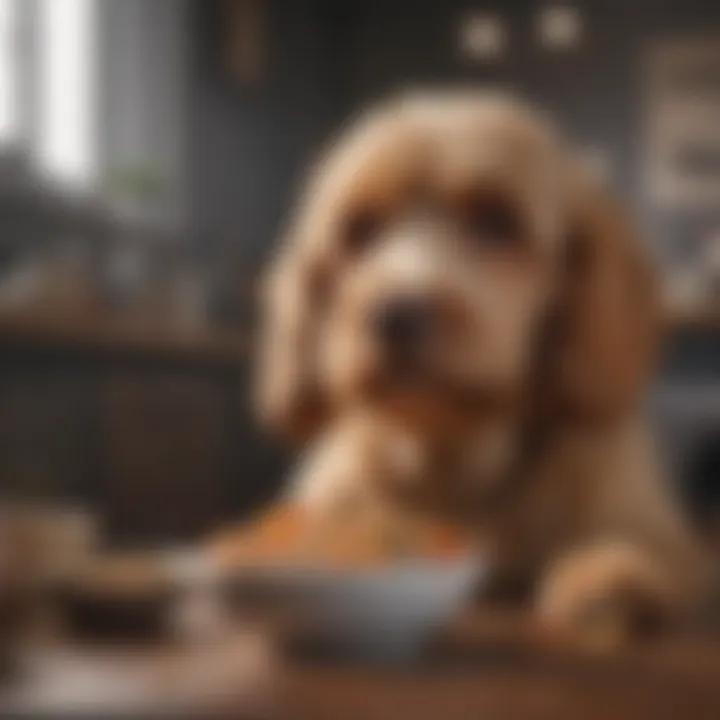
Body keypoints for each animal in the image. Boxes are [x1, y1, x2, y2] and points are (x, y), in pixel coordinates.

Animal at [256, 91, 704, 648]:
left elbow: (641, 544)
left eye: (495, 221)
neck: (456, 453)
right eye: (359, 228)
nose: (397, 315)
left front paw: (613, 575)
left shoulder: (648, 523)